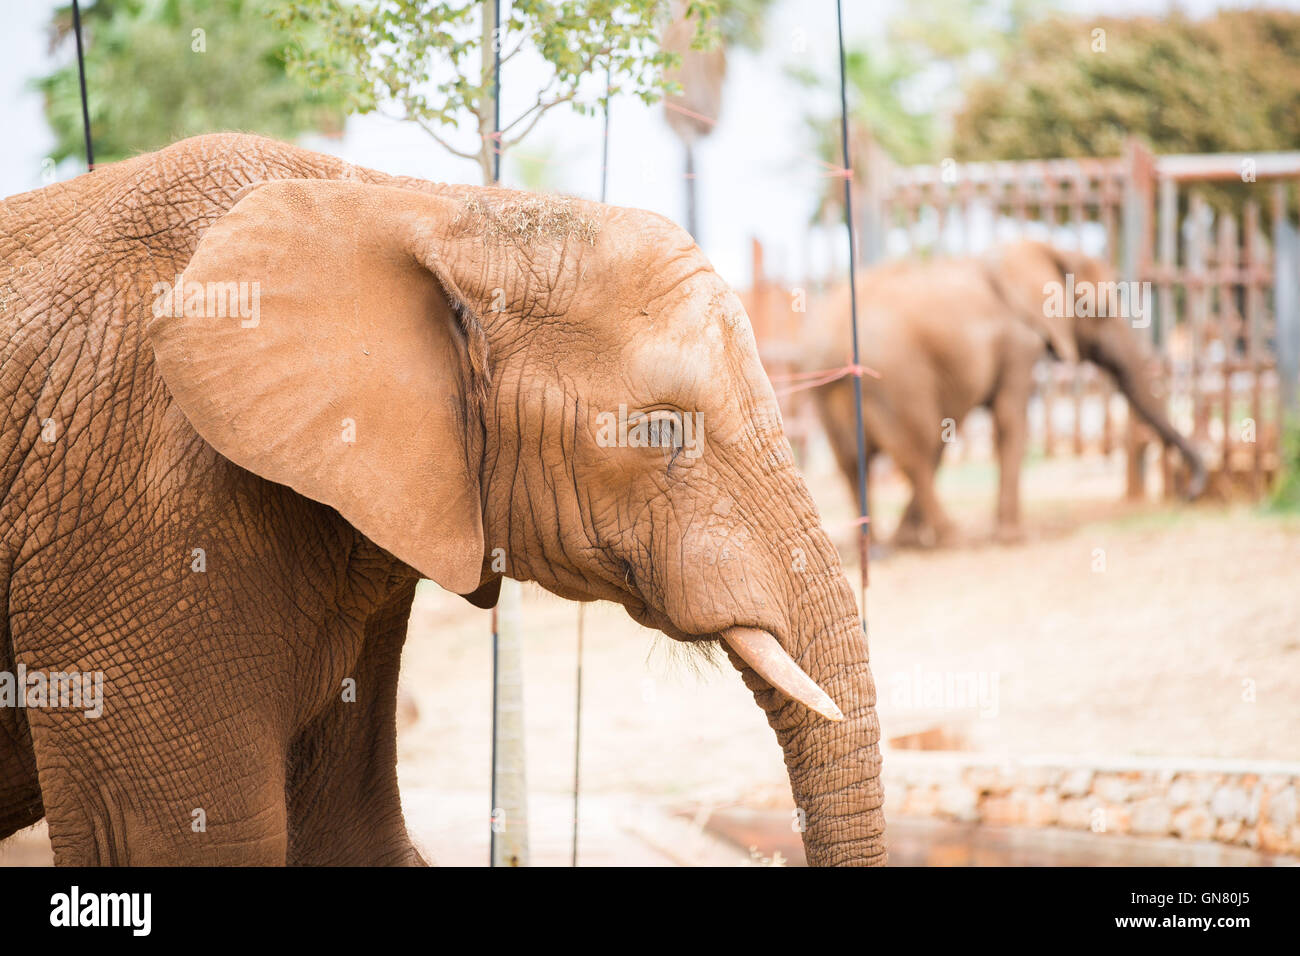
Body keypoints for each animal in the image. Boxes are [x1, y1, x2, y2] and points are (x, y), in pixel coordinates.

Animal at [808, 240, 1207, 547]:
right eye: (1103, 311)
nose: (1189, 493)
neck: (1048, 251)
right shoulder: (1019, 343)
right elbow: (1009, 421)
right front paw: (1012, 536)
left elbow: (951, 433)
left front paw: (909, 537)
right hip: (895, 377)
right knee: (914, 451)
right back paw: (952, 538)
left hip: (834, 391)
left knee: (854, 462)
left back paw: (879, 545)